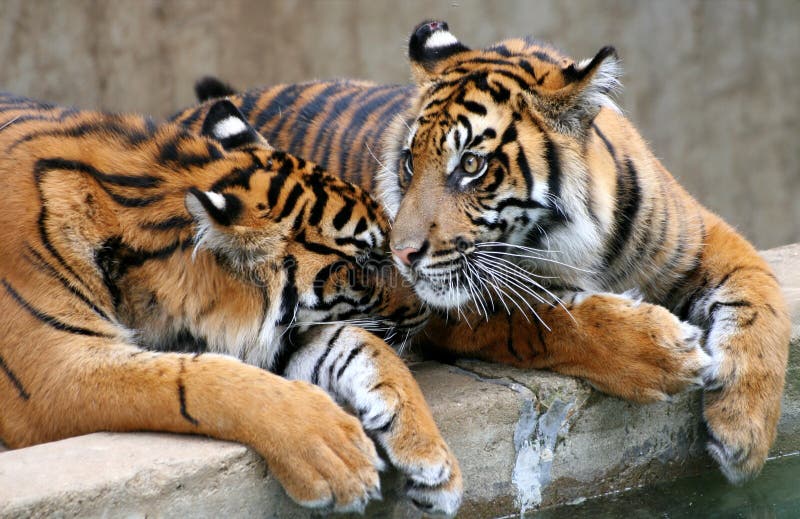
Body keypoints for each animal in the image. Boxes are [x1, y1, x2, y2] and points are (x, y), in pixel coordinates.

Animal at [0, 93, 463, 515]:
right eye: (365, 263)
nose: (429, 307)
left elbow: (363, 348)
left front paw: (433, 460)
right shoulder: (55, 372)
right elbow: (202, 379)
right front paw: (336, 455)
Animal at [173, 20, 791, 485]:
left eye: (470, 164)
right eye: (408, 164)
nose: (400, 254)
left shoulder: (703, 238)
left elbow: (763, 298)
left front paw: (744, 432)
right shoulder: (442, 309)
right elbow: (548, 319)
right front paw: (661, 352)